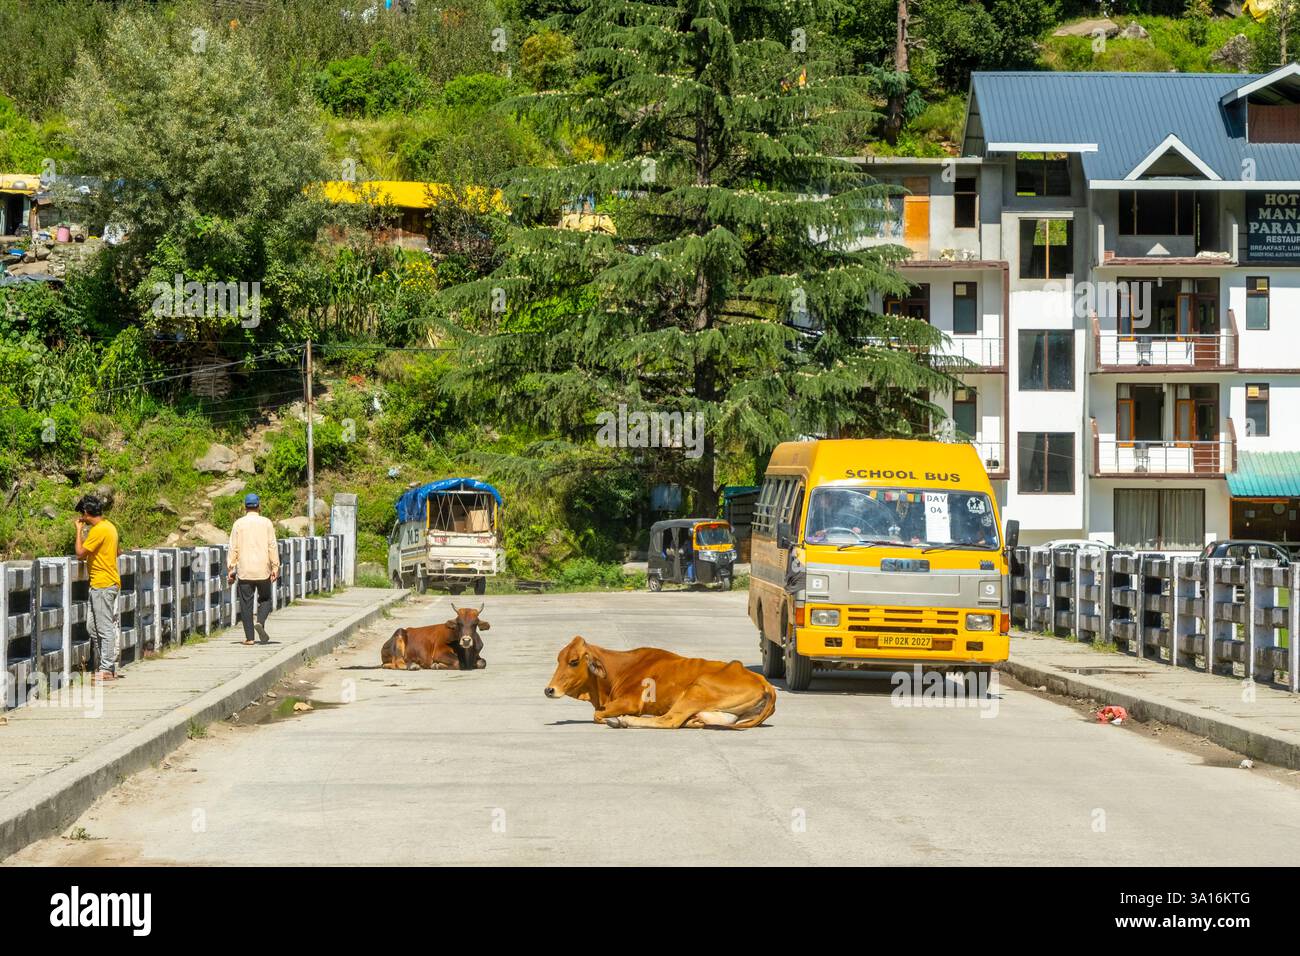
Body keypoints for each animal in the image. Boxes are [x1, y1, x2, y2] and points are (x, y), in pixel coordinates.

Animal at [543, 636, 776, 729]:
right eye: (558, 659)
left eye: (573, 661)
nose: (549, 690)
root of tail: (765, 683)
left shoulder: (629, 702)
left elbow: (597, 715)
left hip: (696, 690)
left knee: (670, 720)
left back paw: (624, 721)